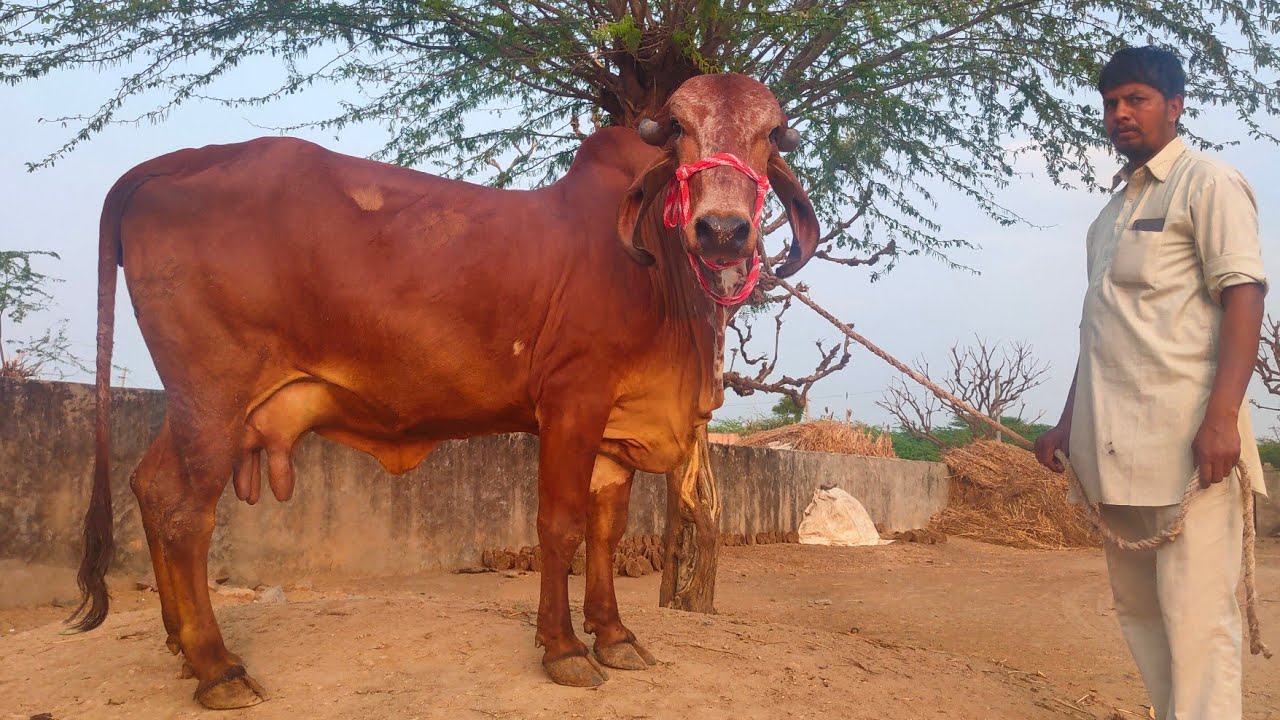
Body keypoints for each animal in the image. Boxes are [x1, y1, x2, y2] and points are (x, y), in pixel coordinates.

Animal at [67, 73, 820, 709]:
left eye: (771, 132)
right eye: (682, 130)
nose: (722, 230)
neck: (663, 281)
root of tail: (171, 163)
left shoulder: (616, 427)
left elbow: (607, 532)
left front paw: (615, 636)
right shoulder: (571, 402)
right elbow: (561, 525)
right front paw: (564, 649)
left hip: (203, 406)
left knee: (150, 487)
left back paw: (180, 647)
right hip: (213, 395)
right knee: (186, 515)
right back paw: (217, 667)